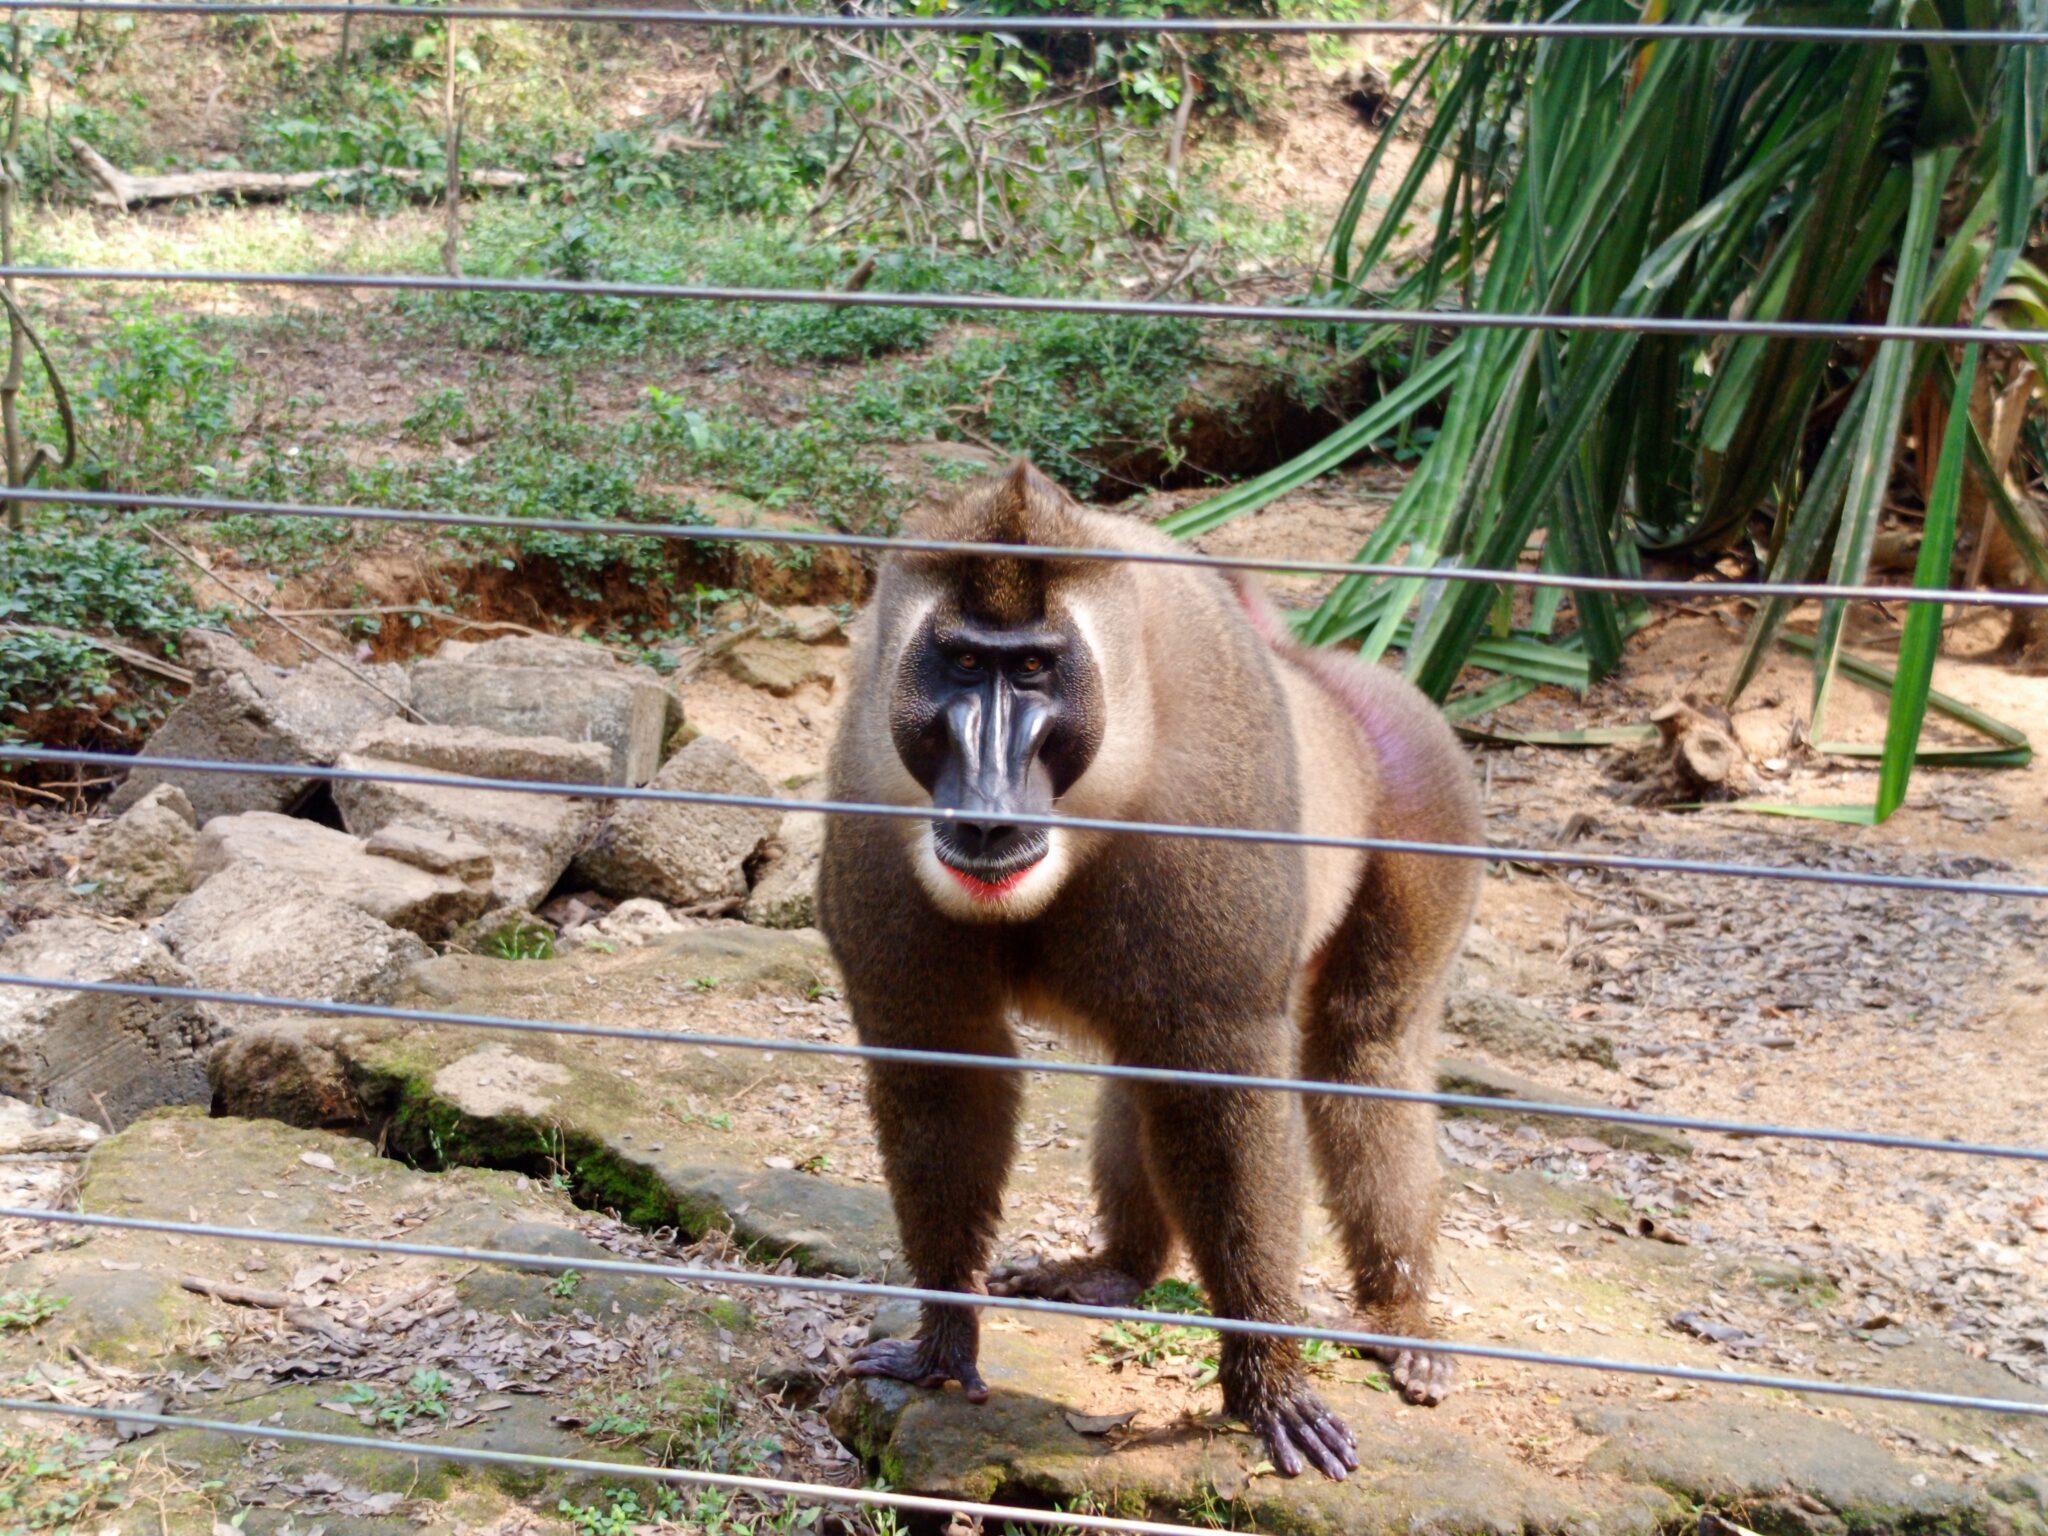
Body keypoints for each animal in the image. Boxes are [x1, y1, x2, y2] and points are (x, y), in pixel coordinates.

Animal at [816, 460, 1482, 1481]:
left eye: (1034, 669)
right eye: (963, 664)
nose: (985, 800)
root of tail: (1327, 670)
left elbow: (1219, 1093)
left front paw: (1269, 1388)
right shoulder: (876, 823)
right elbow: (945, 1075)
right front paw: (941, 1346)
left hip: (1424, 802)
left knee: (1365, 1050)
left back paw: (1400, 1314)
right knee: (1141, 1076)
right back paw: (1117, 1269)